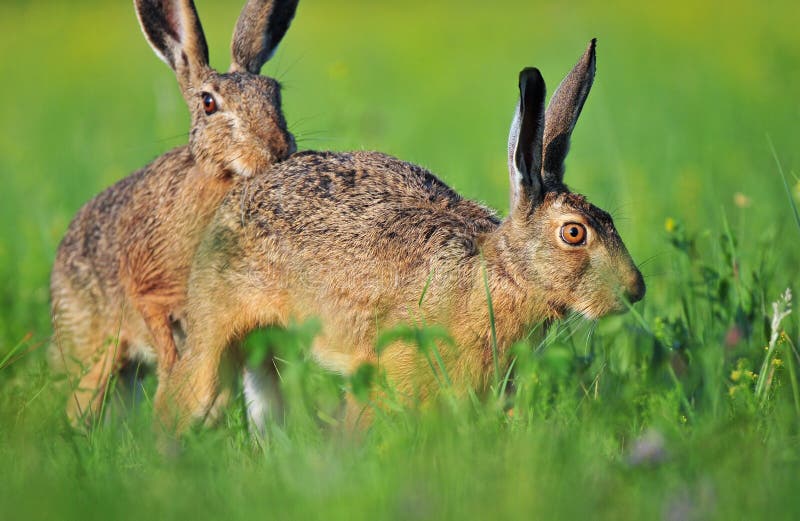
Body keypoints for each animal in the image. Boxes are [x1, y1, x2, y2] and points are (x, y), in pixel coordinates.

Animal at [49, 0, 299, 428]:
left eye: (275, 93)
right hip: (92, 349)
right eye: (209, 103)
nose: (278, 148)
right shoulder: (148, 292)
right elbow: (165, 343)